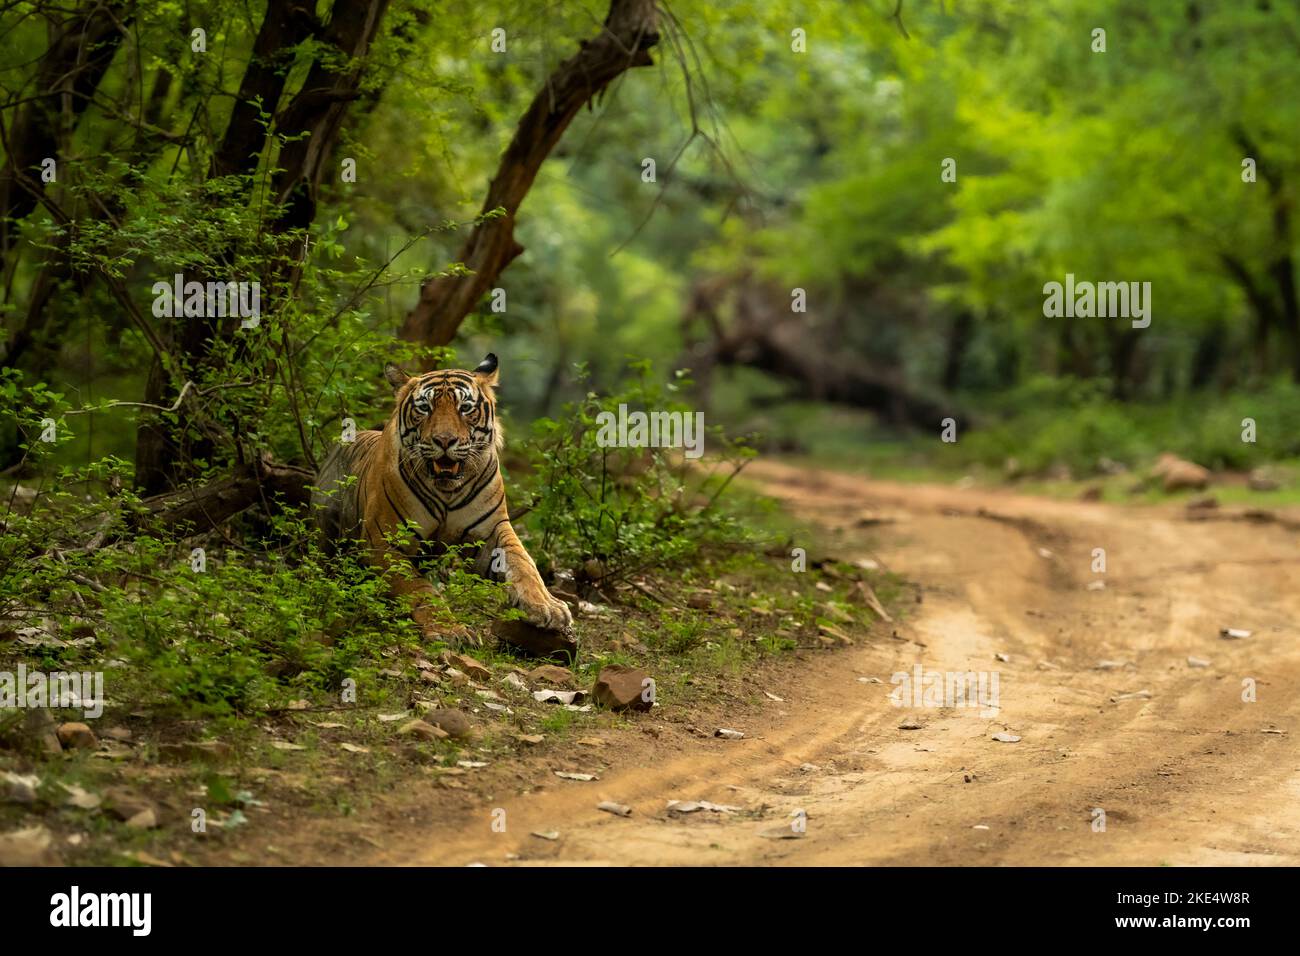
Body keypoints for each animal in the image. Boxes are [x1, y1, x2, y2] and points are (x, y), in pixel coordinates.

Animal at [311, 353, 573, 638]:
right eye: (425, 408)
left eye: (465, 407)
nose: (444, 440)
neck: (447, 489)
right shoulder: (383, 542)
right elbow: (419, 588)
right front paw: (452, 631)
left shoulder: (493, 529)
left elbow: (523, 561)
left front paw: (547, 606)